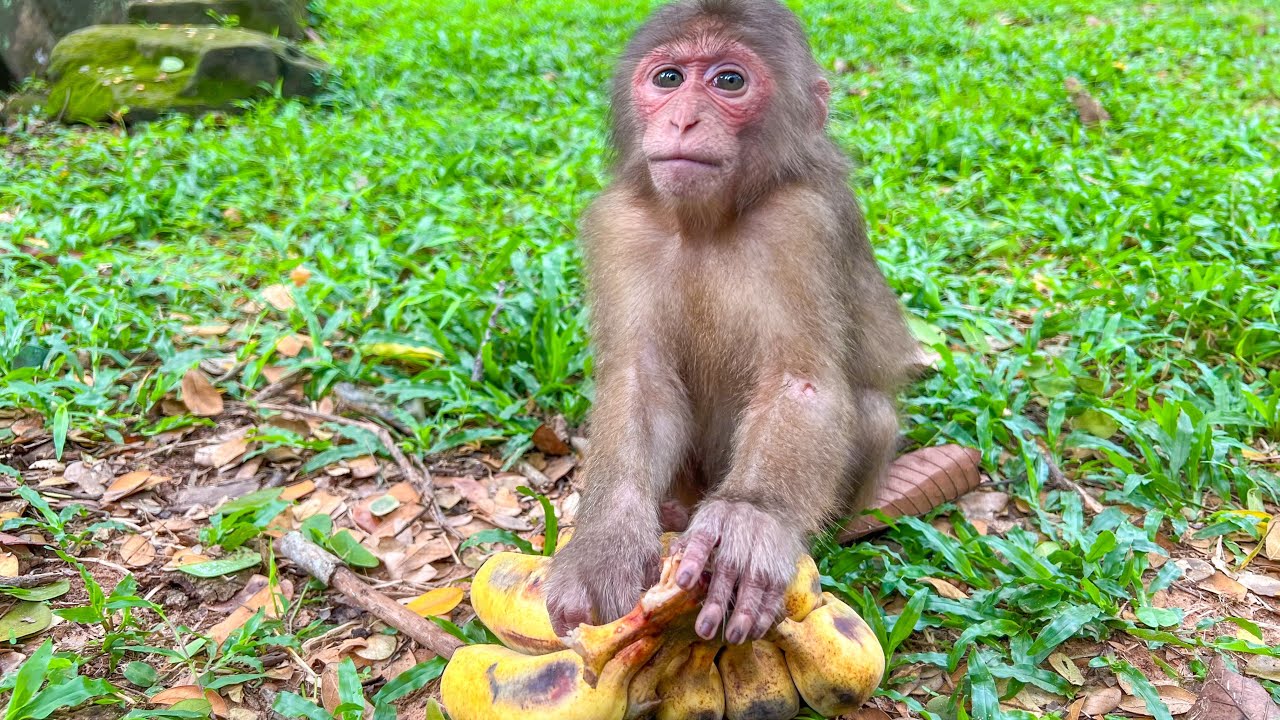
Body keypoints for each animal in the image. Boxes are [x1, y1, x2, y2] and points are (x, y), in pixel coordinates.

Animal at [544, 0, 920, 647]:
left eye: (729, 81)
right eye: (669, 78)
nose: (683, 121)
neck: (707, 223)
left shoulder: (803, 222)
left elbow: (802, 384)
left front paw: (748, 524)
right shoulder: (619, 227)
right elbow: (640, 384)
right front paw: (603, 545)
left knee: (872, 412)